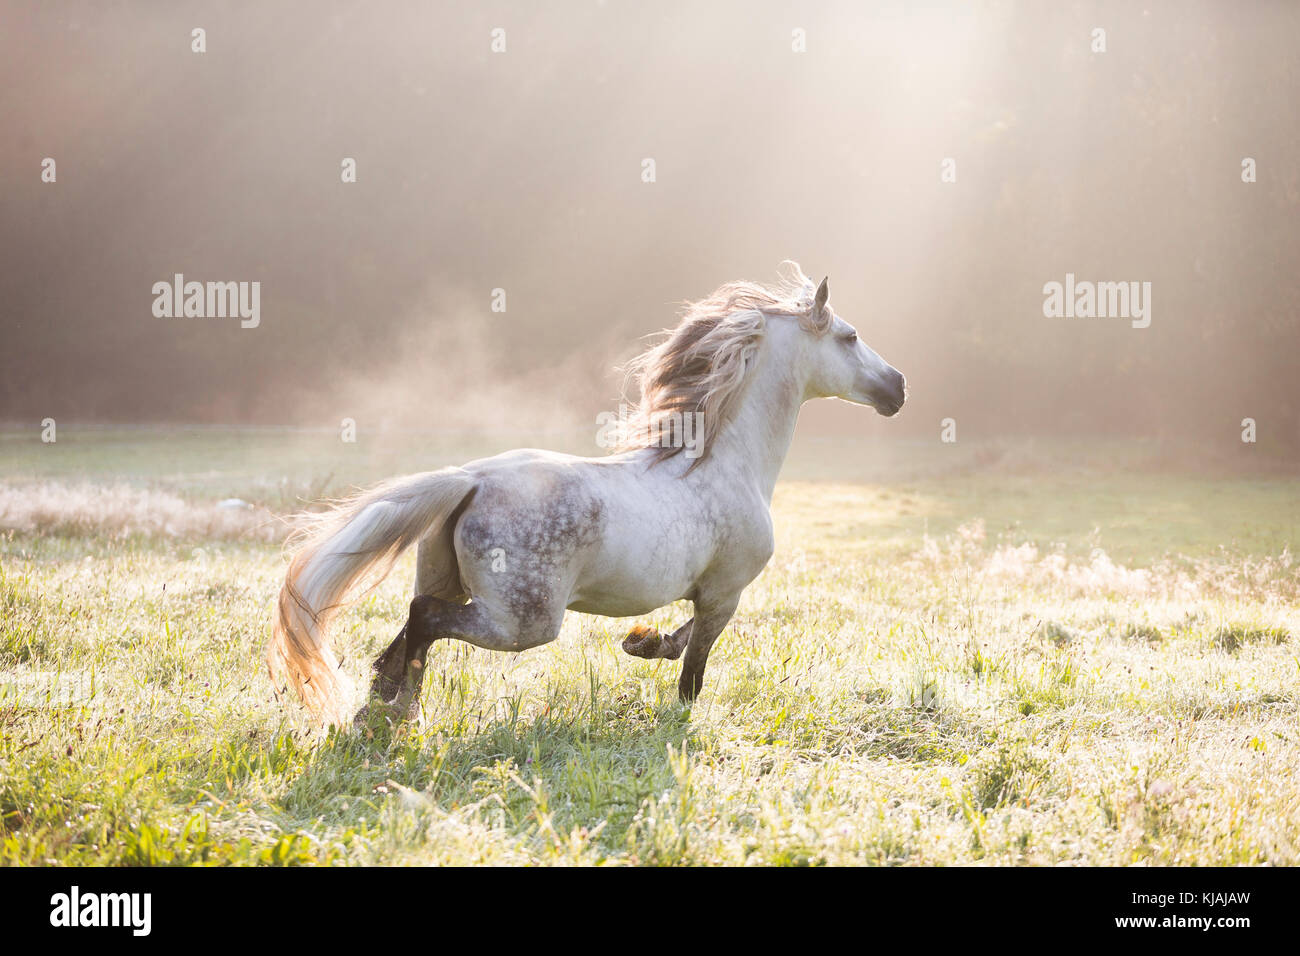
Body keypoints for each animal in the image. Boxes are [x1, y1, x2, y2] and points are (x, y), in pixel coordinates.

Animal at [269, 262, 906, 727]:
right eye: (849, 337)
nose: (898, 387)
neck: (727, 464)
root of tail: (472, 480)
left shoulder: (707, 595)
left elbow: (677, 643)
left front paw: (641, 641)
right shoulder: (725, 593)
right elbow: (692, 670)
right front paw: (673, 704)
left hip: (448, 579)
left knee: (412, 621)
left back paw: (386, 705)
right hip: (523, 622)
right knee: (425, 618)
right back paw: (392, 703)